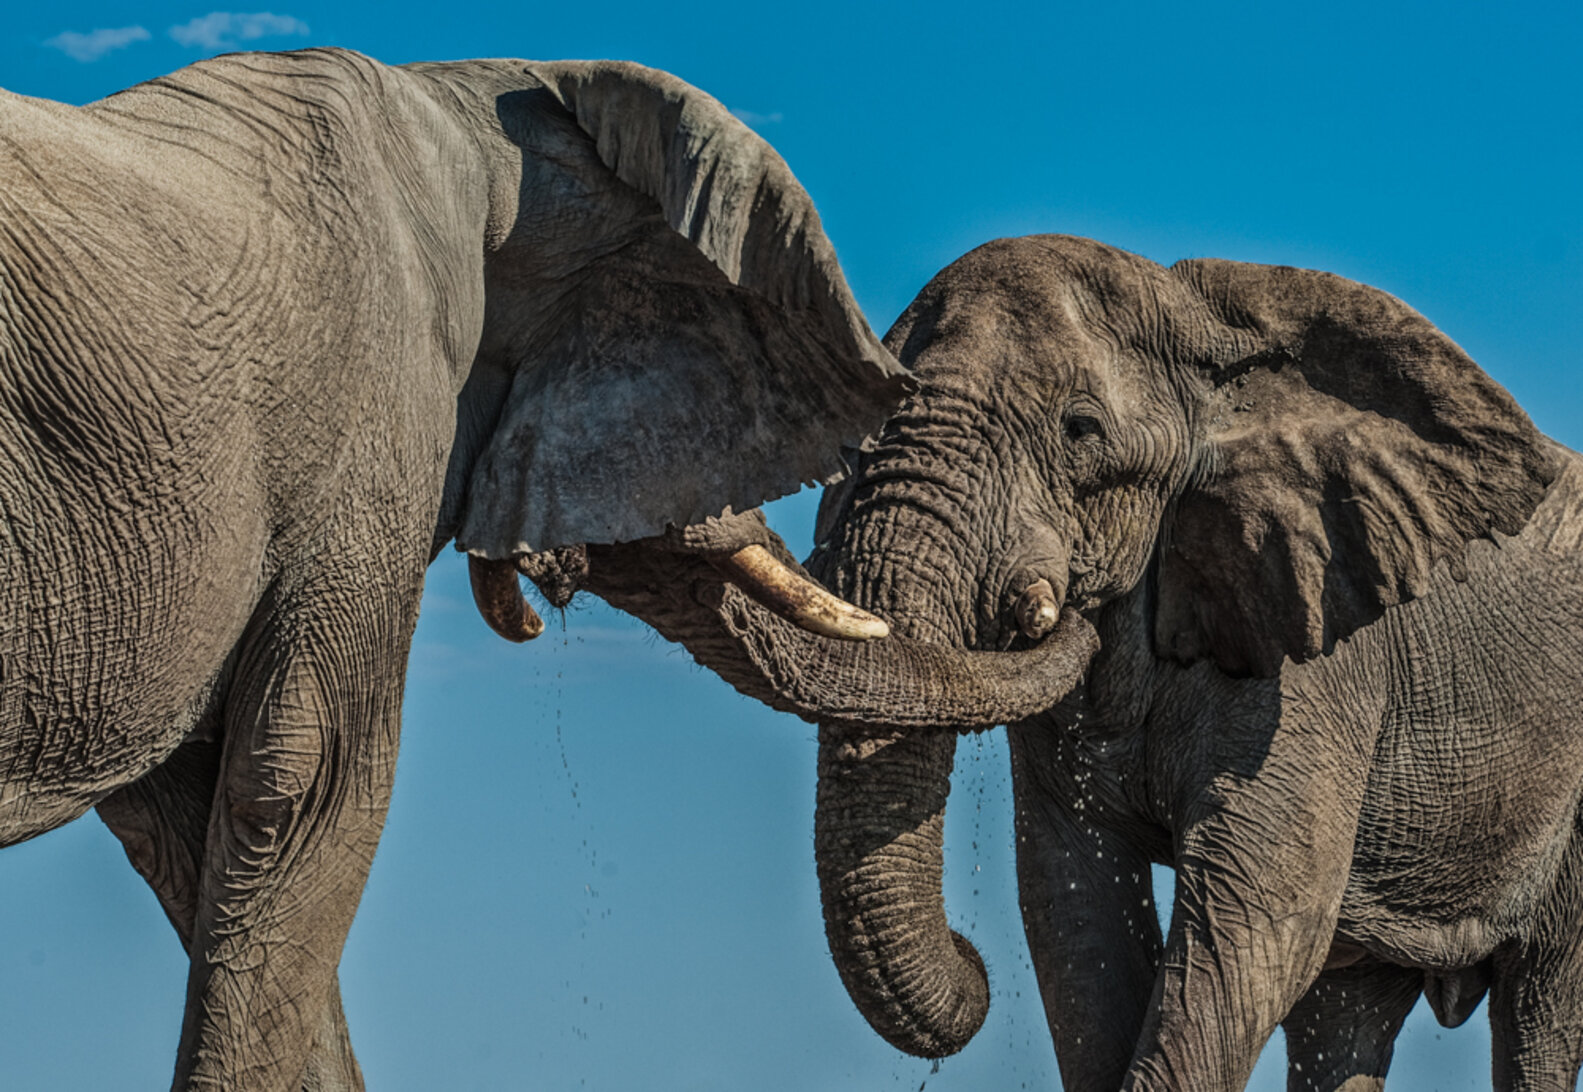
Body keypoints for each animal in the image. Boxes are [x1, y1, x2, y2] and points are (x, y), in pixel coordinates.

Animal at [561, 234, 1582, 1090]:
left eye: (1080, 430)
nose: (970, 963)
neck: (1202, 323)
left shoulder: (1314, 661)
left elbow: (1254, 922)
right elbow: (1074, 913)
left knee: (1537, 1010)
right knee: (1345, 1011)